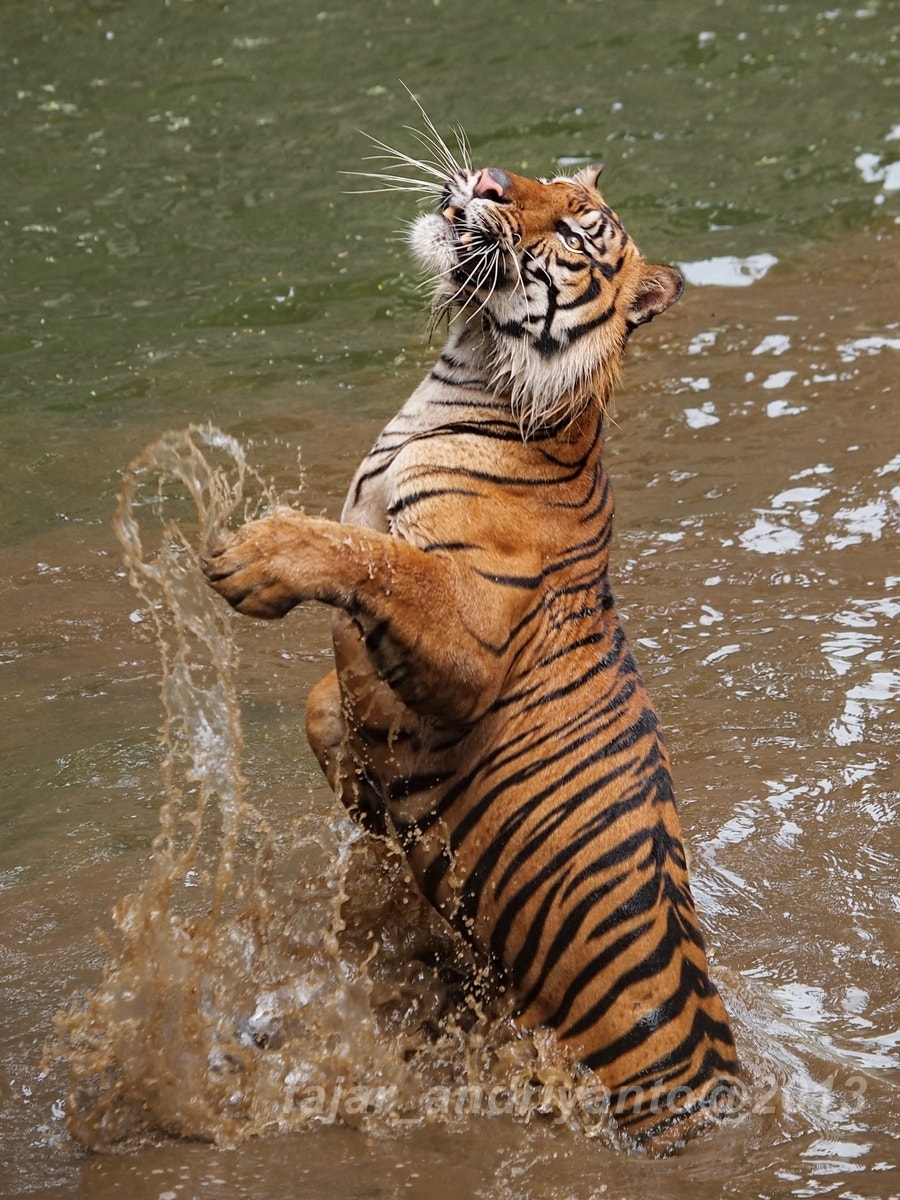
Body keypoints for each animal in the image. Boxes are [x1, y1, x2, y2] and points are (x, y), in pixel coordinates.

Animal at [202, 118, 741, 1152]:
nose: (486, 178)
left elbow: (369, 559)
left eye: (573, 226)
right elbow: (331, 694)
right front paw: (359, 775)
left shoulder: (468, 632)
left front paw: (250, 556)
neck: (465, 368)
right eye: (543, 175)